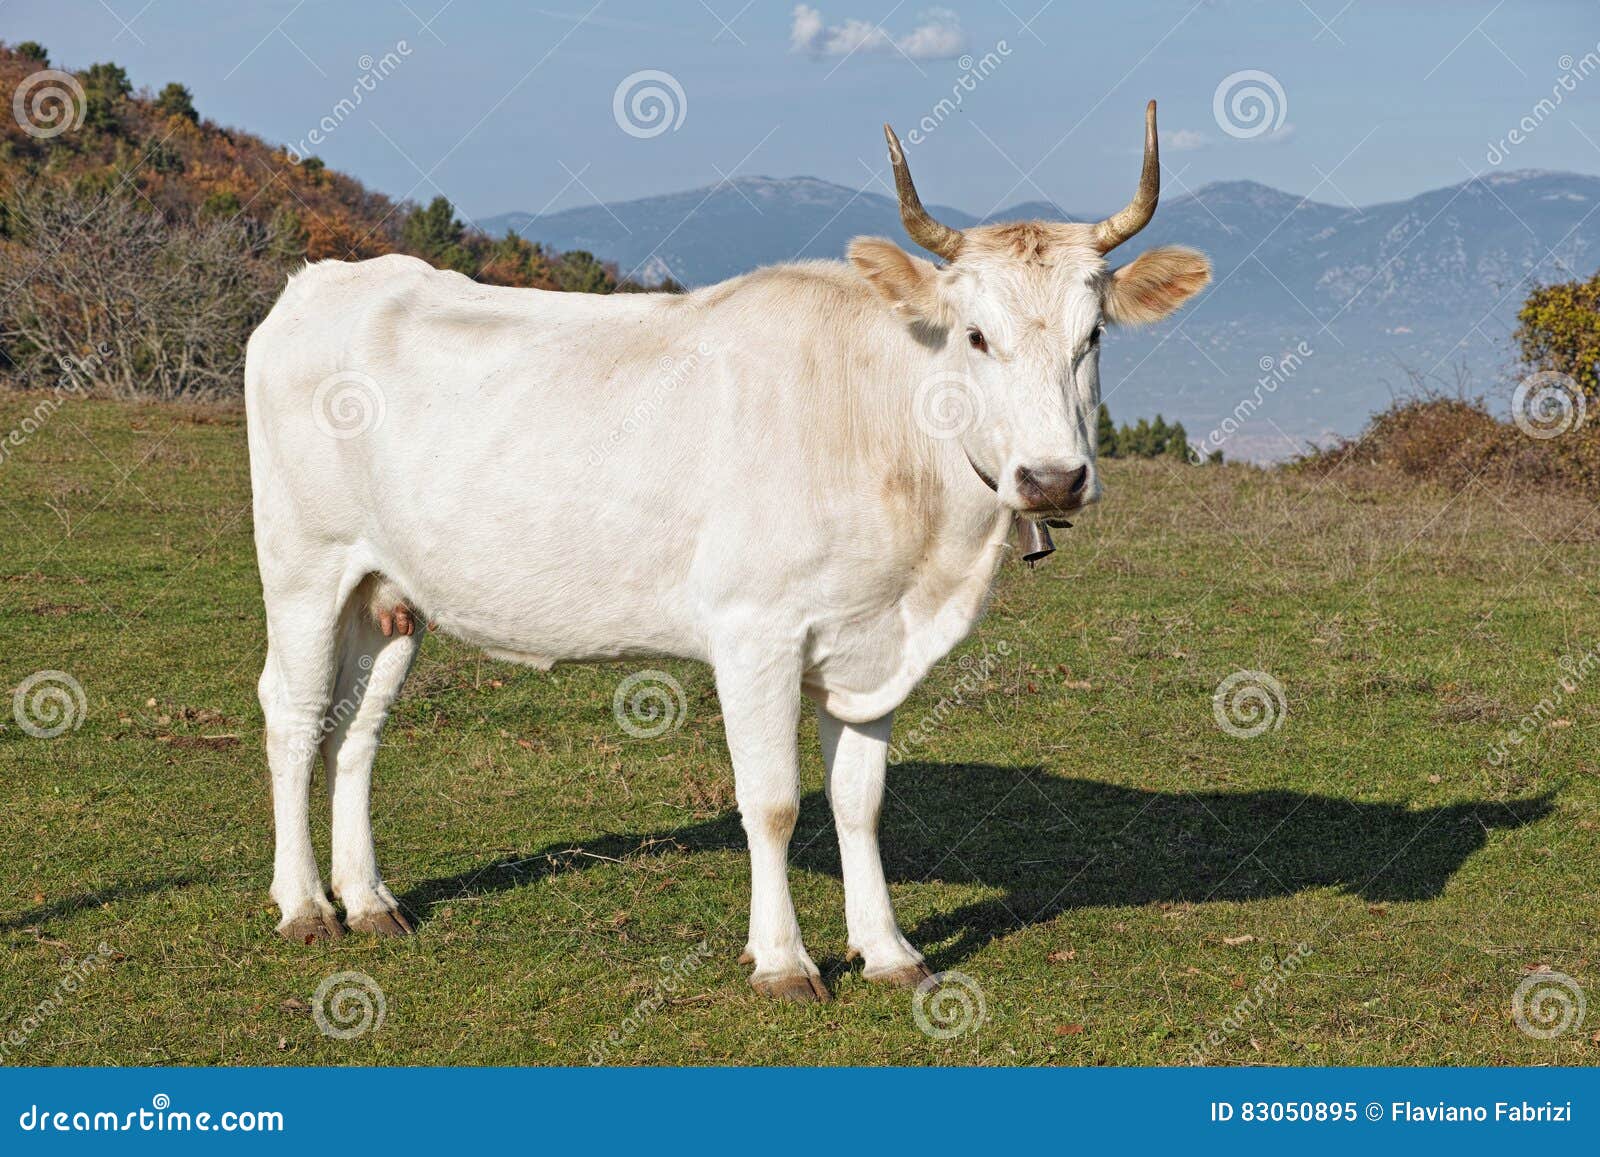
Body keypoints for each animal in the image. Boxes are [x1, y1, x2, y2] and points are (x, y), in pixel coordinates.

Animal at [244, 102, 1209, 1002]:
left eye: (1093, 335)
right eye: (976, 335)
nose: (1051, 478)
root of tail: (327, 281)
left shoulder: (872, 642)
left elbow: (860, 803)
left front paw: (889, 950)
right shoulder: (756, 631)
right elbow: (774, 804)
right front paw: (782, 961)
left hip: (386, 587)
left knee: (357, 726)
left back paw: (370, 900)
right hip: (303, 564)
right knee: (293, 713)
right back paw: (305, 906)